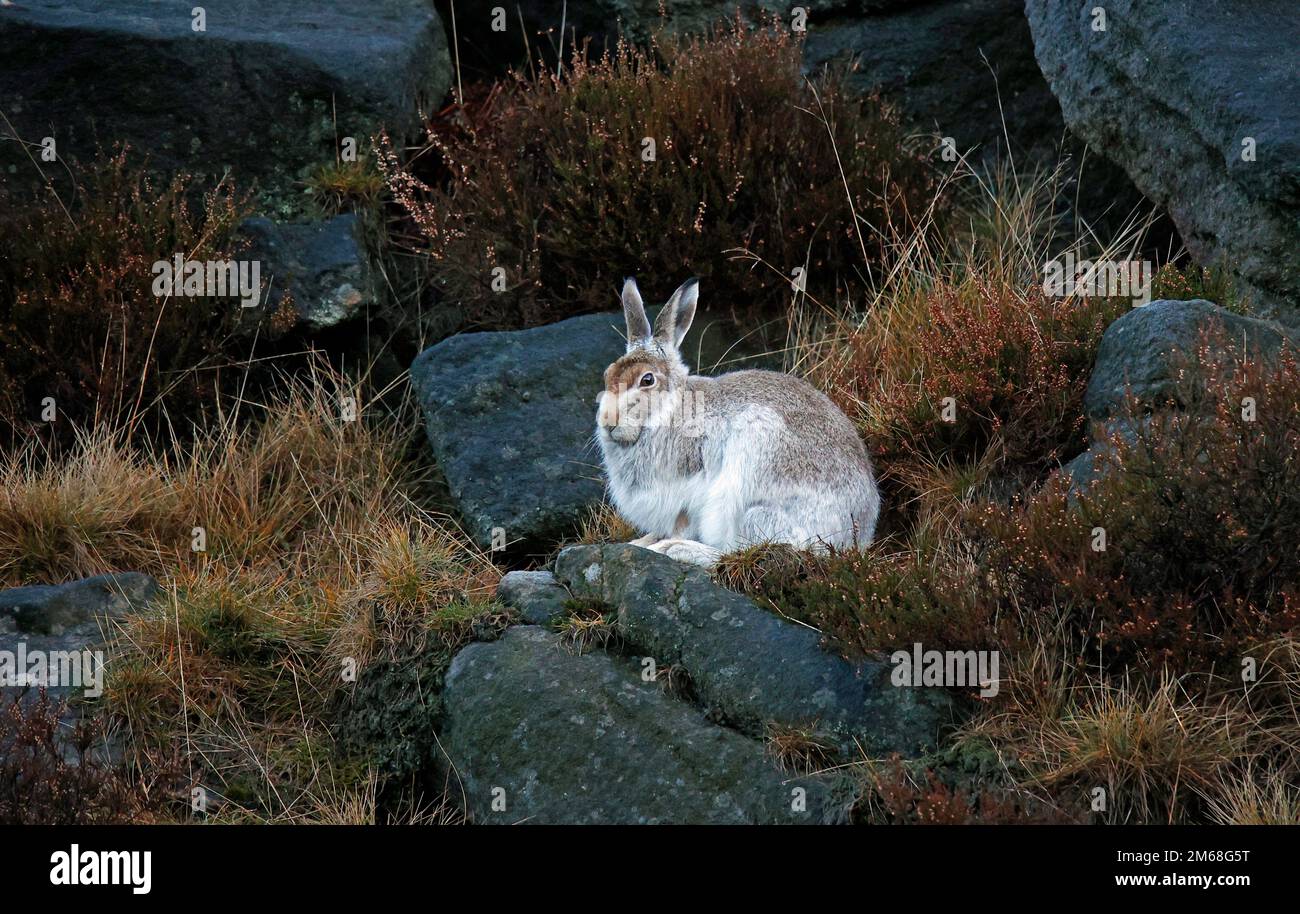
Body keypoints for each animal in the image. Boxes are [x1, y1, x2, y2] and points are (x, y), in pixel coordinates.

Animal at [595, 276, 880, 566]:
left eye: (647, 380)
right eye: (607, 375)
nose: (608, 422)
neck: (669, 409)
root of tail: (857, 536)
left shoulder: (688, 493)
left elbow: (684, 524)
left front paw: (660, 544)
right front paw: (639, 542)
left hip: (749, 499)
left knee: (743, 553)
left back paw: (679, 549)